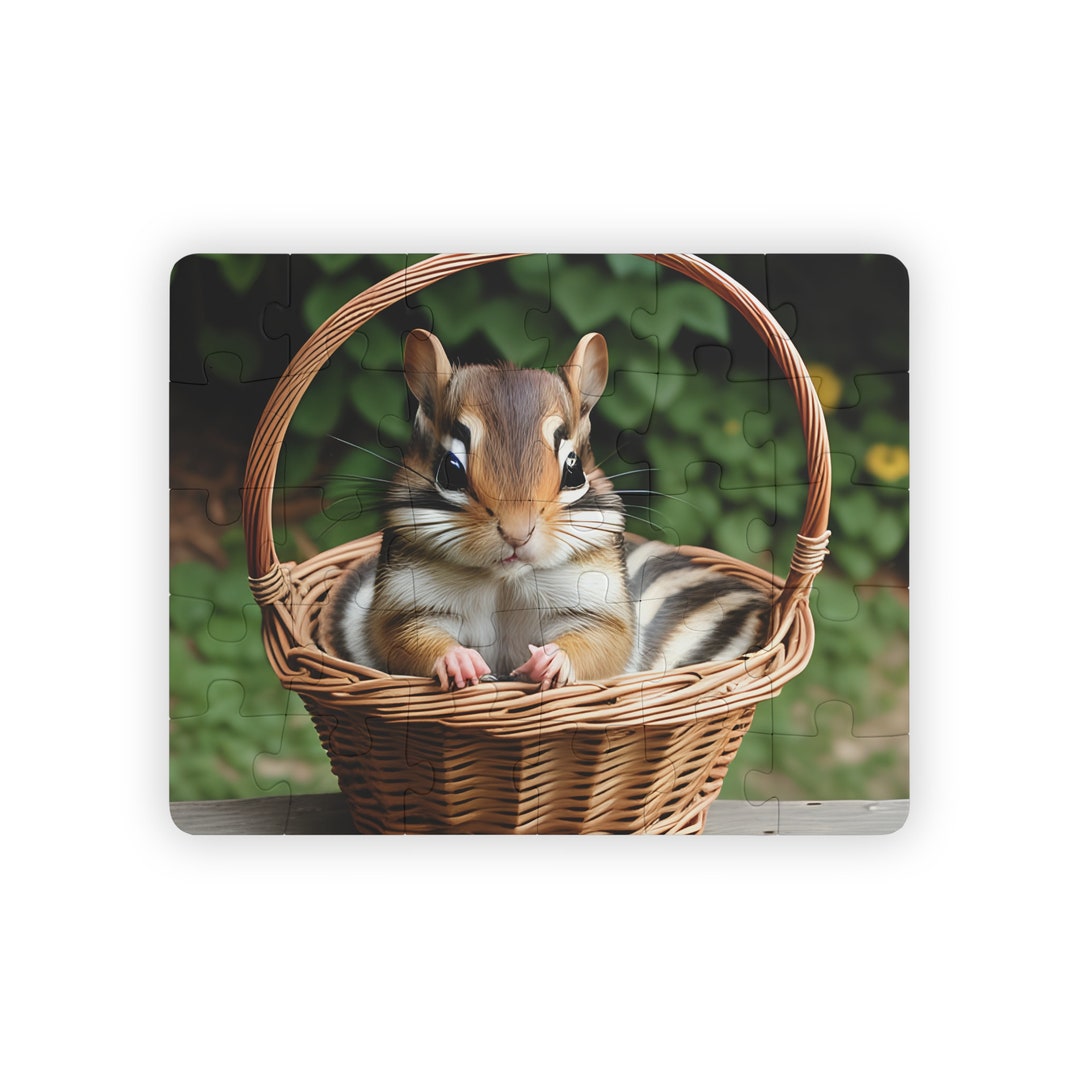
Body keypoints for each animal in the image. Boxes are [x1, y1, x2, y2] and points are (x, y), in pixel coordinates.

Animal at [324, 329, 768, 690]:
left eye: (573, 469)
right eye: (449, 470)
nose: (517, 534)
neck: (505, 579)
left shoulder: (597, 604)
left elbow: (604, 641)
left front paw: (553, 661)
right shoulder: (406, 604)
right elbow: (402, 639)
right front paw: (458, 661)